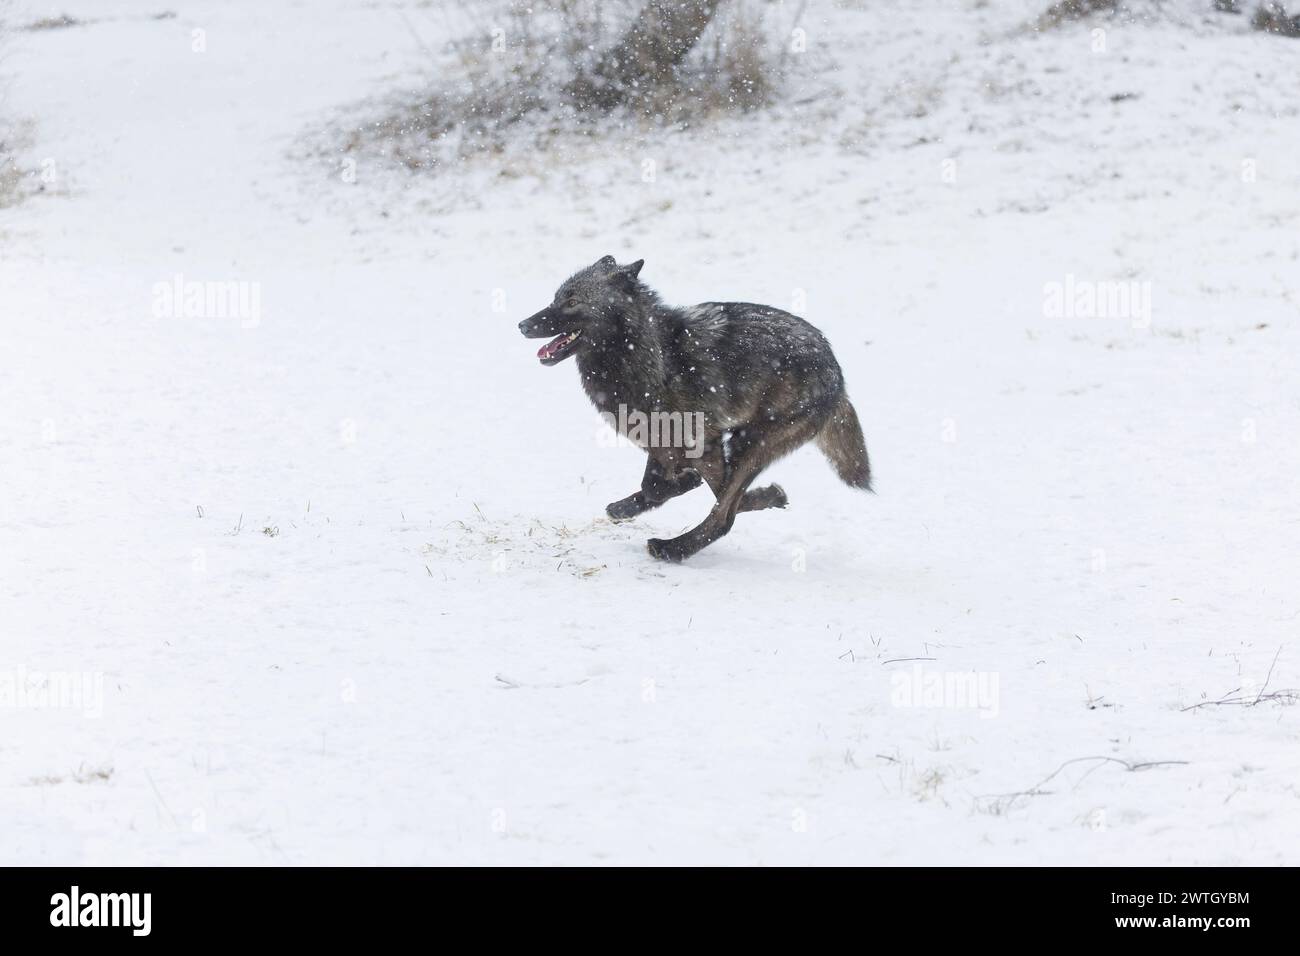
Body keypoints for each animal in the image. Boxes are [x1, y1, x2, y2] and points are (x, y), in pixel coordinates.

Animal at [518, 255, 871, 562]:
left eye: (572, 302)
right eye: (556, 298)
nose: (523, 325)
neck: (648, 355)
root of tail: (836, 373)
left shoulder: (703, 441)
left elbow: (668, 488)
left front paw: (691, 486)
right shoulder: (664, 441)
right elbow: (657, 484)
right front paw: (632, 505)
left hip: (751, 445)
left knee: (723, 516)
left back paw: (672, 549)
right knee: (725, 500)